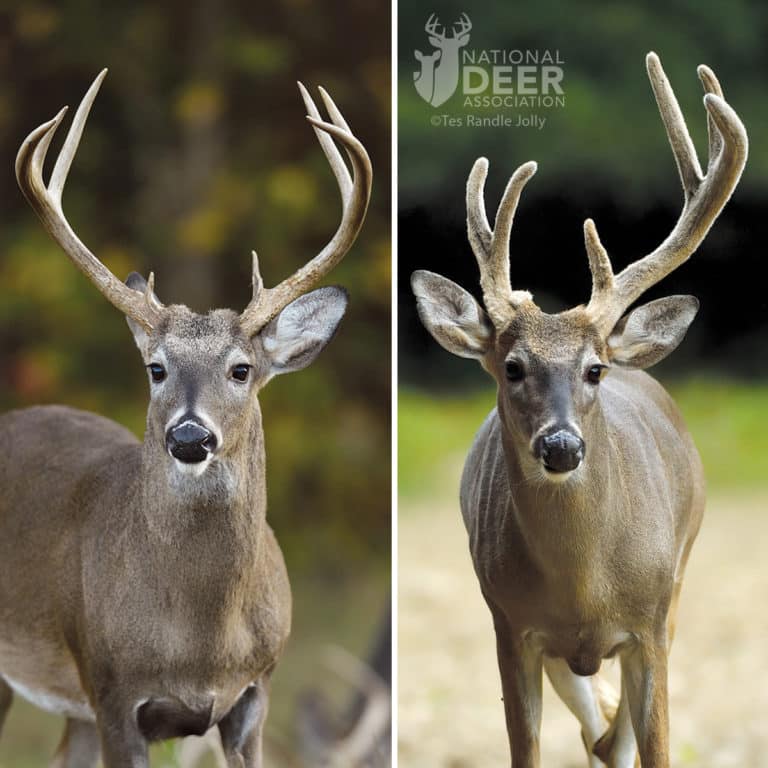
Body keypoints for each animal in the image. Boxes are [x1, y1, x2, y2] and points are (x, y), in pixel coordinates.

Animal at [0, 68, 371, 768]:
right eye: (156, 368)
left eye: (241, 369)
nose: (190, 436)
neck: (202, 643)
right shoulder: (113, 692)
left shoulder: (256, 692)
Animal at [411, 52, 746, 767]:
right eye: (512, 367)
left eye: (594, 370)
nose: (561, 446)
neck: (583, 587)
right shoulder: (510, 628)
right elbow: (533, 748)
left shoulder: (651, 626)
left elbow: (651, 744)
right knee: (599, 725)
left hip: (680, 579)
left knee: (612, 726)